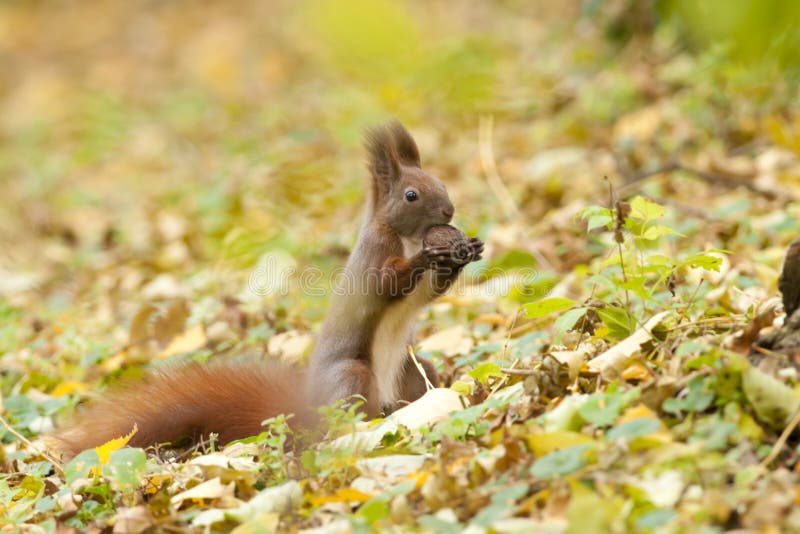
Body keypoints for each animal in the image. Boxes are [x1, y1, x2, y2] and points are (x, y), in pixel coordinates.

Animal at [55, 121, 484, 456]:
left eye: (440, 182)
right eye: (411, 194)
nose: (449, 211)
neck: (407, 236)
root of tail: (309, 407)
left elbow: (430, 293)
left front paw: (468, 250)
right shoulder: (375, 255)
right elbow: (386, 285)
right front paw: (426, 257)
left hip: (412, 369)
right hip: (352, 376)